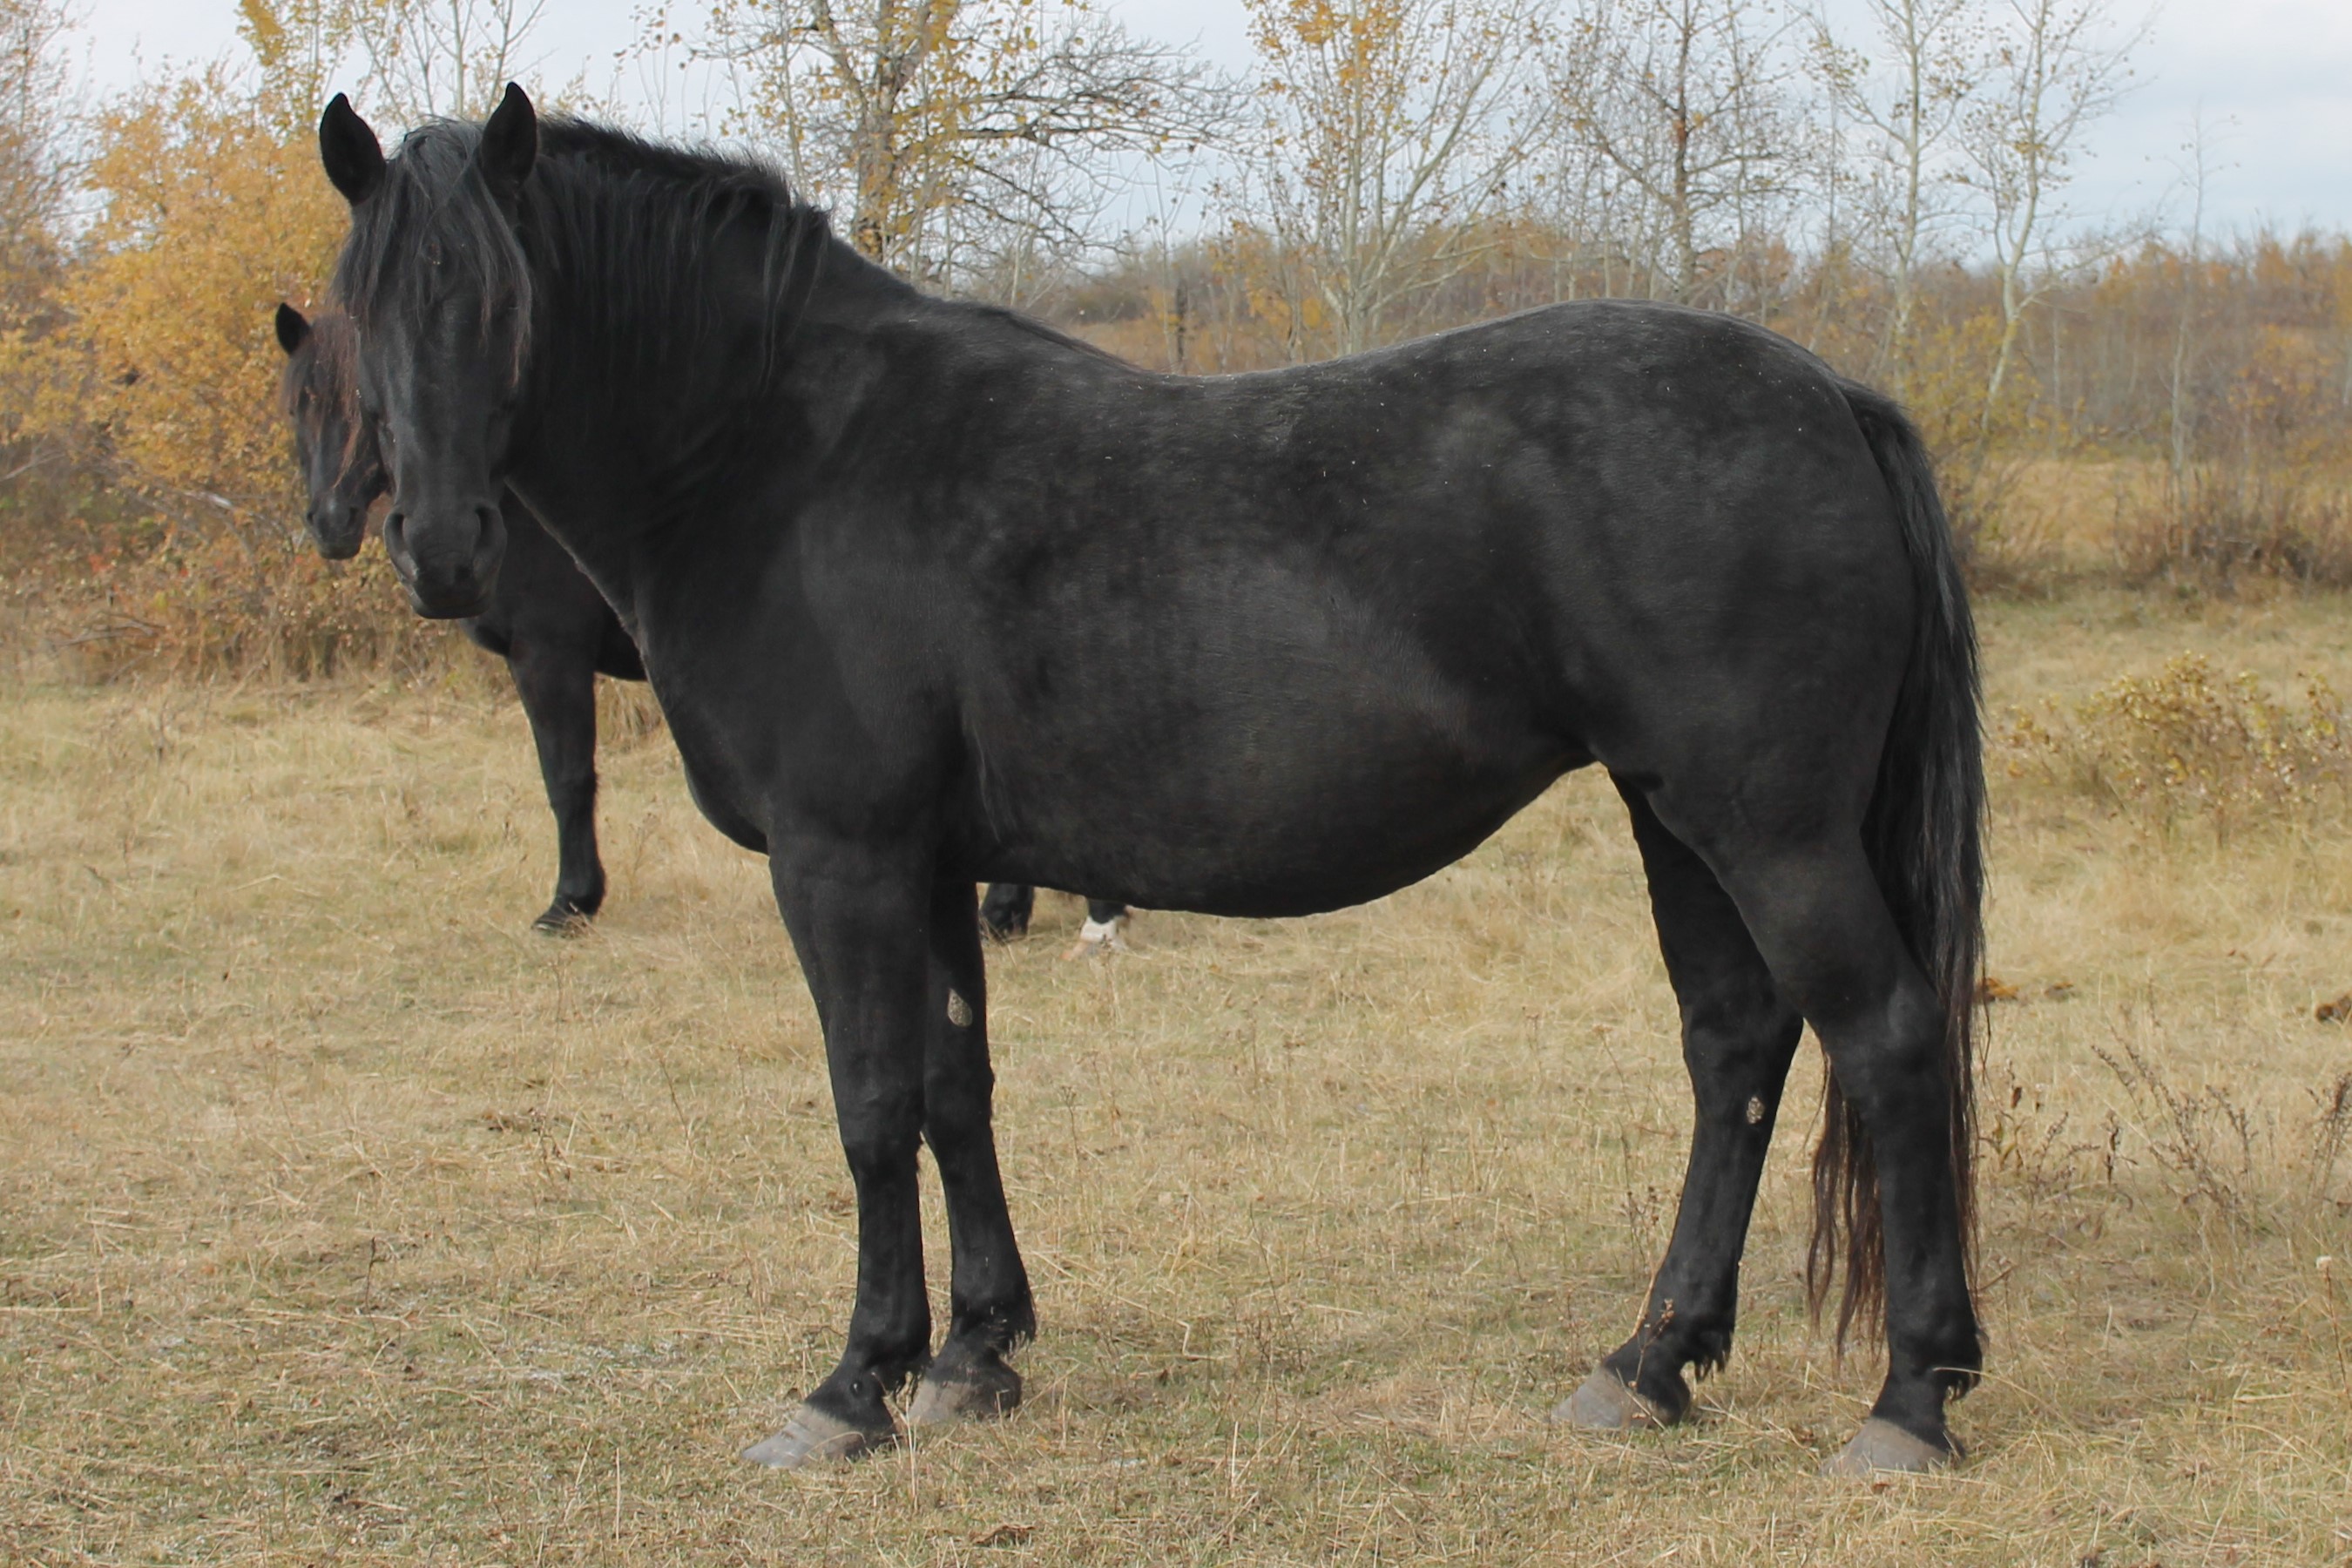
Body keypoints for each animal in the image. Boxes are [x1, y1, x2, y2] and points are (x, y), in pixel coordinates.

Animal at [274, 302, 1127, 947]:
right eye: (299, 402)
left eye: (358, 400)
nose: (330, 522)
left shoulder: (547, 656)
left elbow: (567, 776)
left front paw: (571, 902)